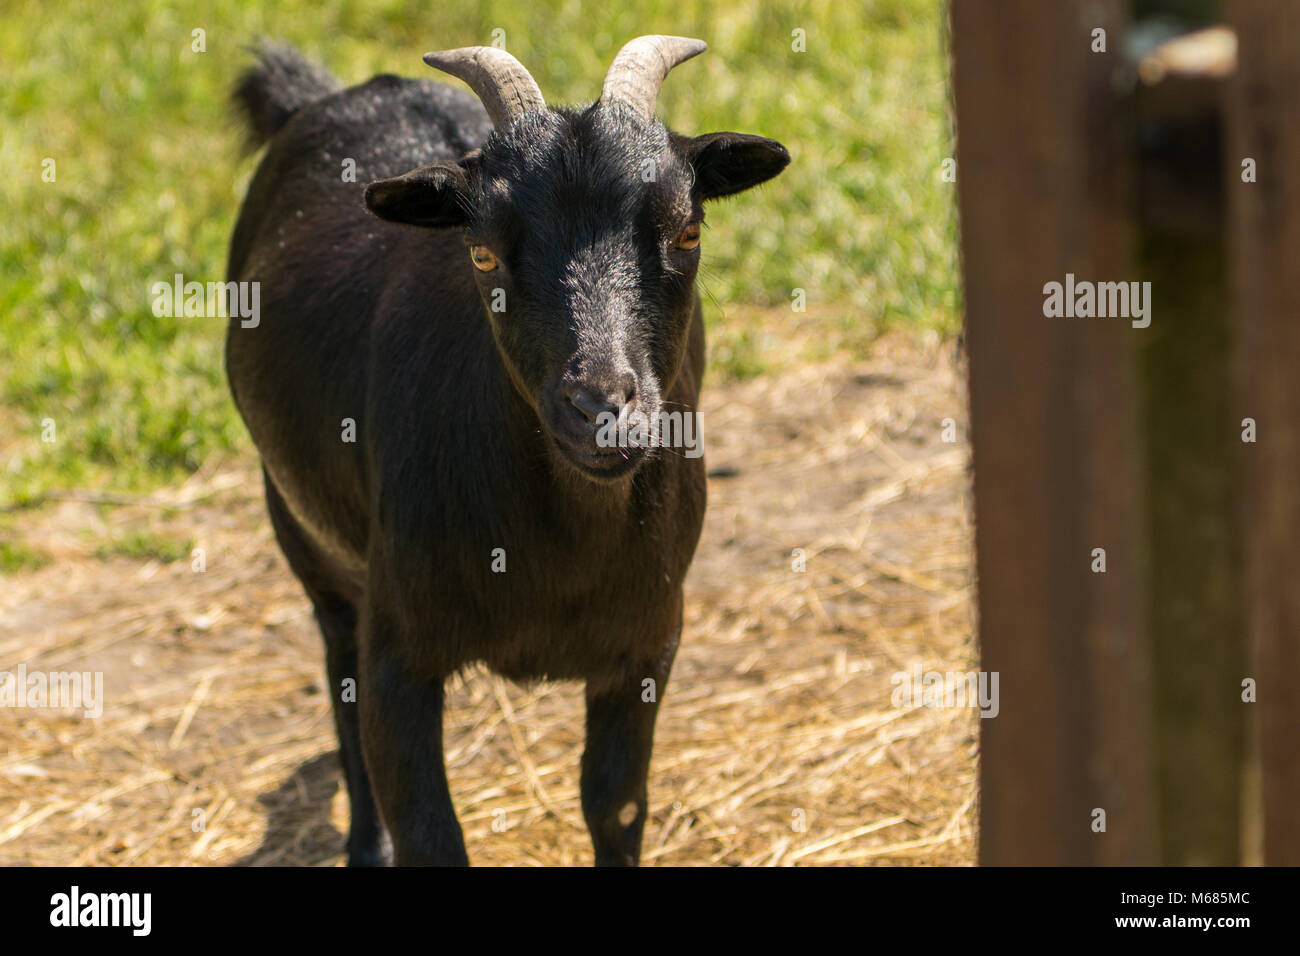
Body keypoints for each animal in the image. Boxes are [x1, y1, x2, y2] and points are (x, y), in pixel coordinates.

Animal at [227, 36, 789, 866]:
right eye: (483, 254)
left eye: (688, 234)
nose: (601, 408)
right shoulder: (399, 653)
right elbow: (426, 825)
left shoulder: (649, 641)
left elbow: (616, 806)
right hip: (298, 524)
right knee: (338, 669)